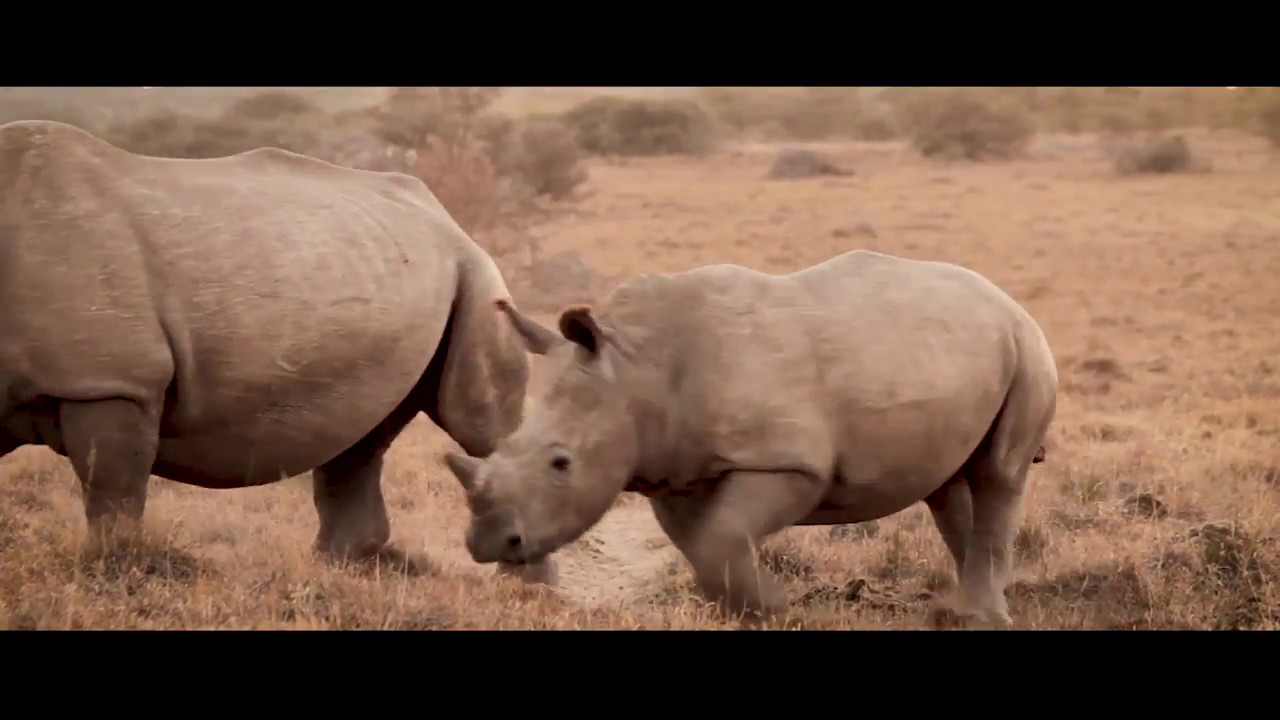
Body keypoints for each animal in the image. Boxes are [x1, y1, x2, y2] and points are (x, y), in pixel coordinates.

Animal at [0, 119, 554, 582]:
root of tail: (444, 213)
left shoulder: (110, 381)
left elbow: (111, 489)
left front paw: (114, 570)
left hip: (477, 274)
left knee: (476, 426)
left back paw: (526, 592)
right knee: (361, 438)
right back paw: (339, 569)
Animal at [443, 249, 1058, 627]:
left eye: (561, 463)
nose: (489, 544)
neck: (636, 368)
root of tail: (1002, 296)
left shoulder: (787, 461)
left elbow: (721, 535)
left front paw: (778, 609)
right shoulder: (674, 468)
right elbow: (702, 545)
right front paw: (741, 610)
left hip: (1026, 343)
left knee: (999, 473)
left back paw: (979, 616)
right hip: (955, 349)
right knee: (950, 484)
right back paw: (960, 609)